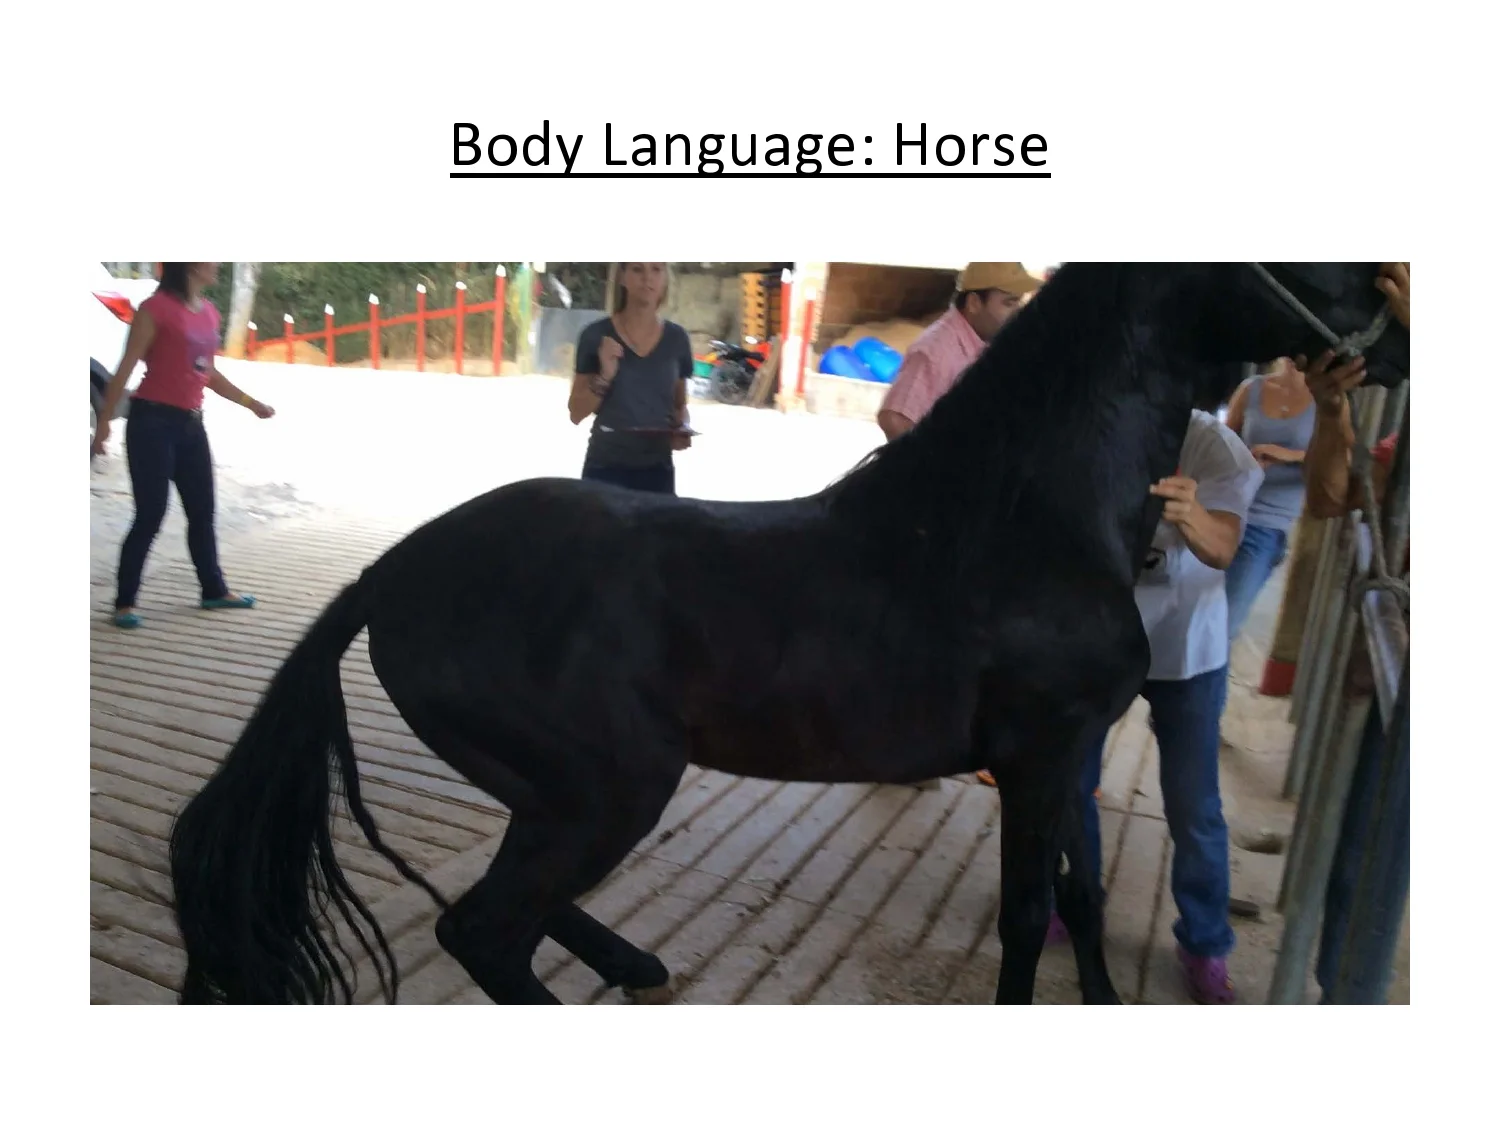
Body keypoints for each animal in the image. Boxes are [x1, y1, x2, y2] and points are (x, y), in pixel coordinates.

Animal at [167, 263, 1409, 1005]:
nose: (1395, 326)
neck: (1022, 518)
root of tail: (393, 572)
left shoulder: (1076, 754)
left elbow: (1081, 897)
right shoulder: (1039, 755)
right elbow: (1025, 915)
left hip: (558, 792)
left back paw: (638, 962)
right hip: (609, 790)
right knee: (484, 932)